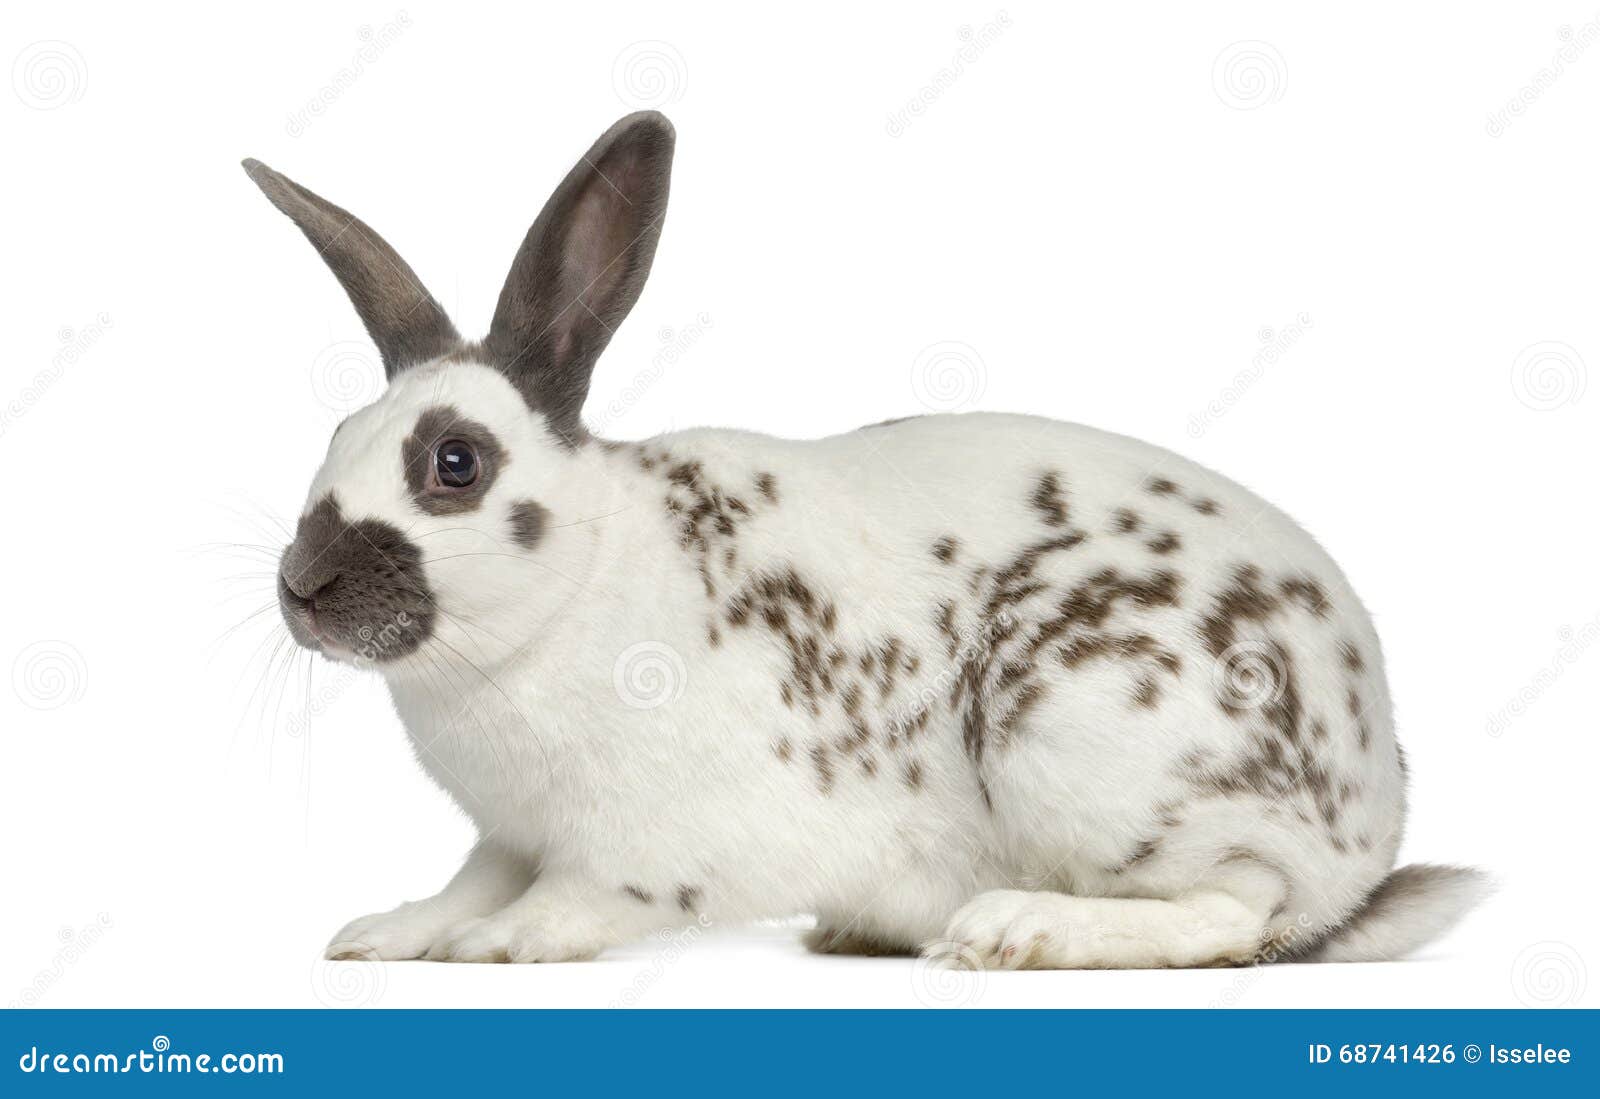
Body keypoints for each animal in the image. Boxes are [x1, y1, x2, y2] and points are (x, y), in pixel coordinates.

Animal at [244, 111, 1486, 969]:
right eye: (336, 436)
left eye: (455, 464)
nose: (303, 588)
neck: (577, 585)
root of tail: (1368, 814)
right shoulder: (504, 833)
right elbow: (465, 881)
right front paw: (382, 932)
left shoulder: (636, 847)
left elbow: (581, 898)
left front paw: (498, 946)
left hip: (1088, 732)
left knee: (1232, 912)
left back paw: (1014, 932)